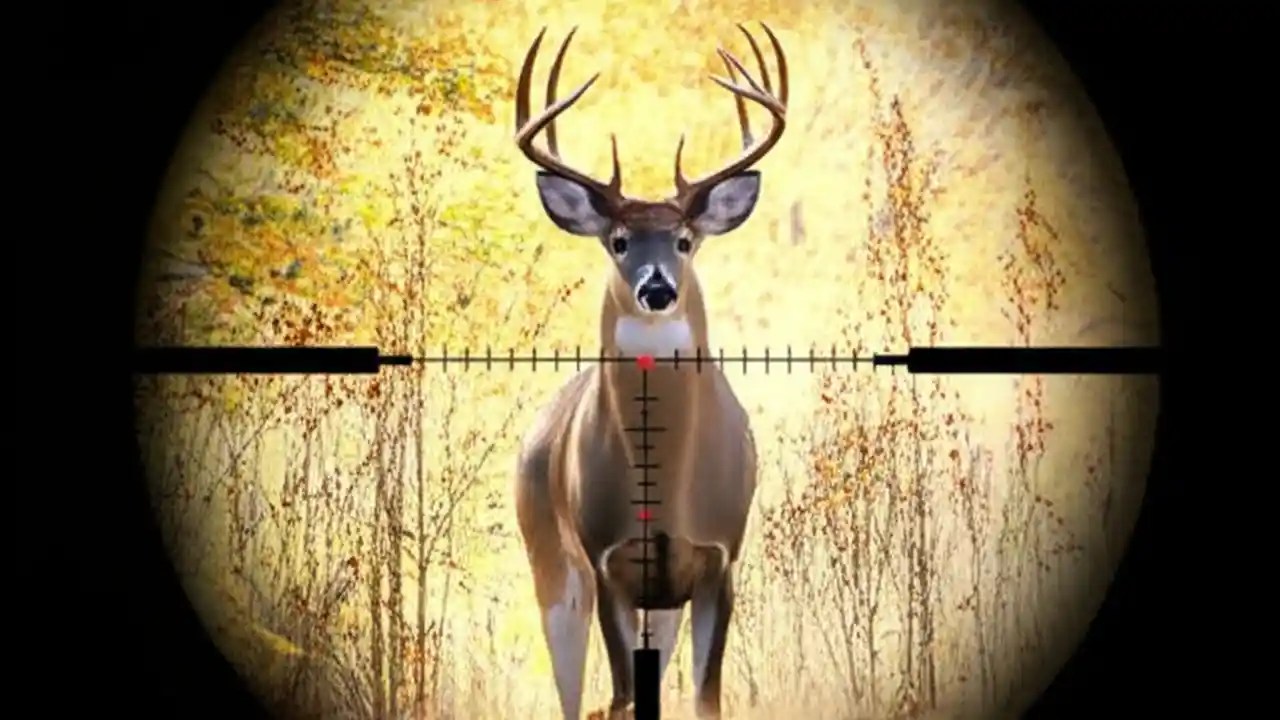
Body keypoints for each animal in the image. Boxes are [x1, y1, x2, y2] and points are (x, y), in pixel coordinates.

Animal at [511, 23, 787, 720]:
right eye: (618, 242)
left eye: (685, 240)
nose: (657, 288)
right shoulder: (605, 563)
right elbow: (621, 698)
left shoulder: (720, 559)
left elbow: (705, 699)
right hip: (551, 568)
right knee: (574, 695)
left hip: (657, 604)